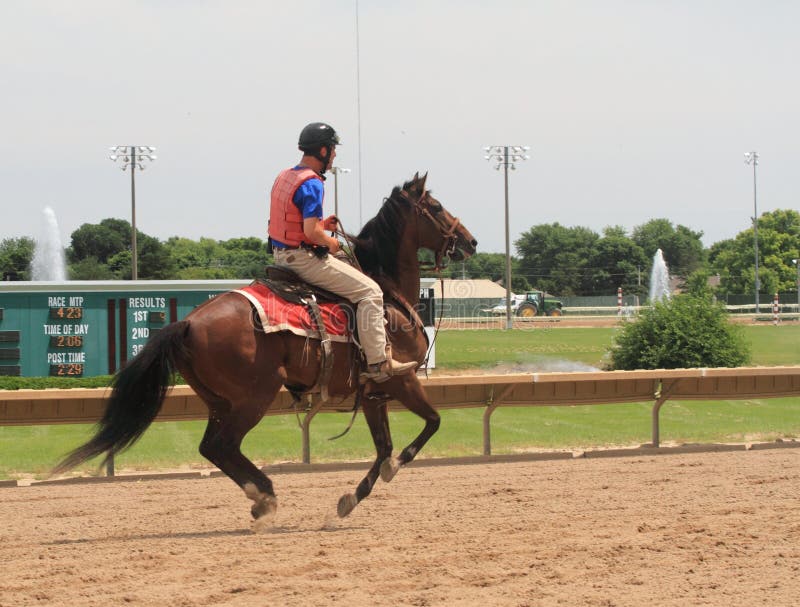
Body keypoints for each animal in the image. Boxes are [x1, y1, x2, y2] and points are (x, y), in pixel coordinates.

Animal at [53, 172, 477, 530]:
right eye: (436, 206)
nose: (470, 240)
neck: (387, 294)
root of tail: (187, 323)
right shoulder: (400, 379)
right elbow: (432, 423)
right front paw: (394, 468)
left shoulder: (373, 394)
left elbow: (383, 447)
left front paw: (348, 501)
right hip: (254, 397)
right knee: (222, 446)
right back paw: (265, 495)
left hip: (221, 402)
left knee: (213, 448)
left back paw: (261, 497)